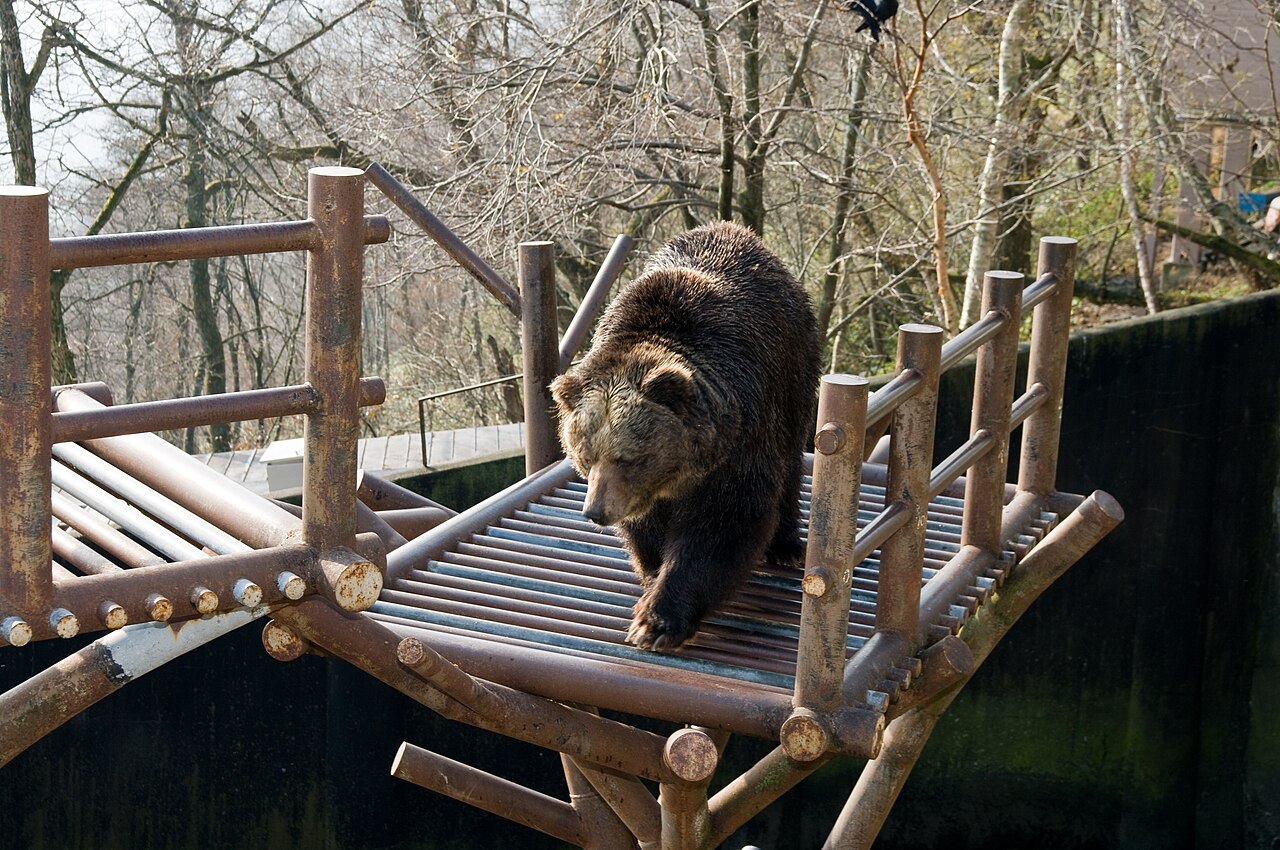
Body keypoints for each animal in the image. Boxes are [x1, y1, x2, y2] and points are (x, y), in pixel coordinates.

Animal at [550, 221, 821, 651]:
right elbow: (647, 530)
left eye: (628, 457)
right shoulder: (642, 493)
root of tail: (737, 231)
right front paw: (651, 576)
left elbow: (723, 525)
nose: (596, 512)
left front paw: (656, 622)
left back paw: (786, 546)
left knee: (790, 458)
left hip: (793, 369)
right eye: (585, 457)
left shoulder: (740, 439)